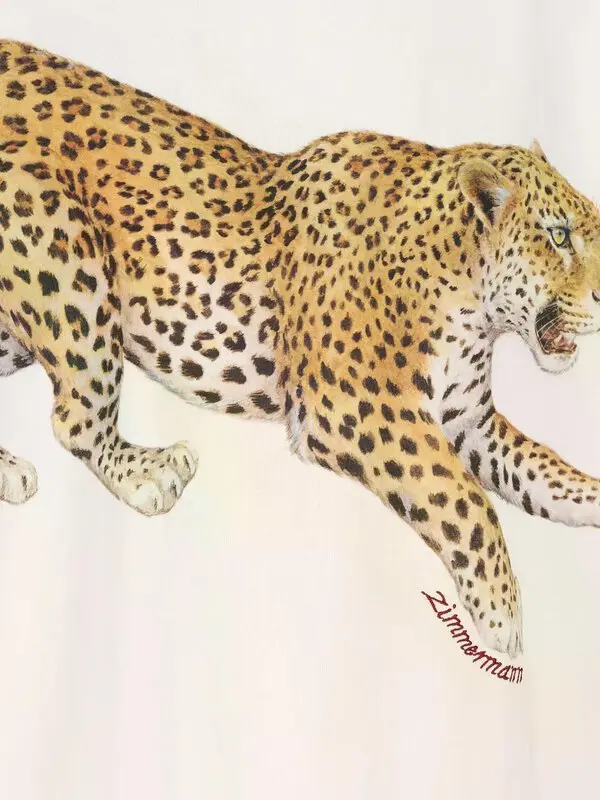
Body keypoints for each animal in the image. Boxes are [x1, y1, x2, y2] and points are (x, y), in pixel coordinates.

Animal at [2, 40, 600, 659]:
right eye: (559, 235)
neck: (469, 299)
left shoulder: (468, 421)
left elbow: (545, 470)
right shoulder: (362, 410)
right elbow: (466, 502)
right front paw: (503, 621)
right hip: (67, 261)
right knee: (76, 420)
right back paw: (150, 473)